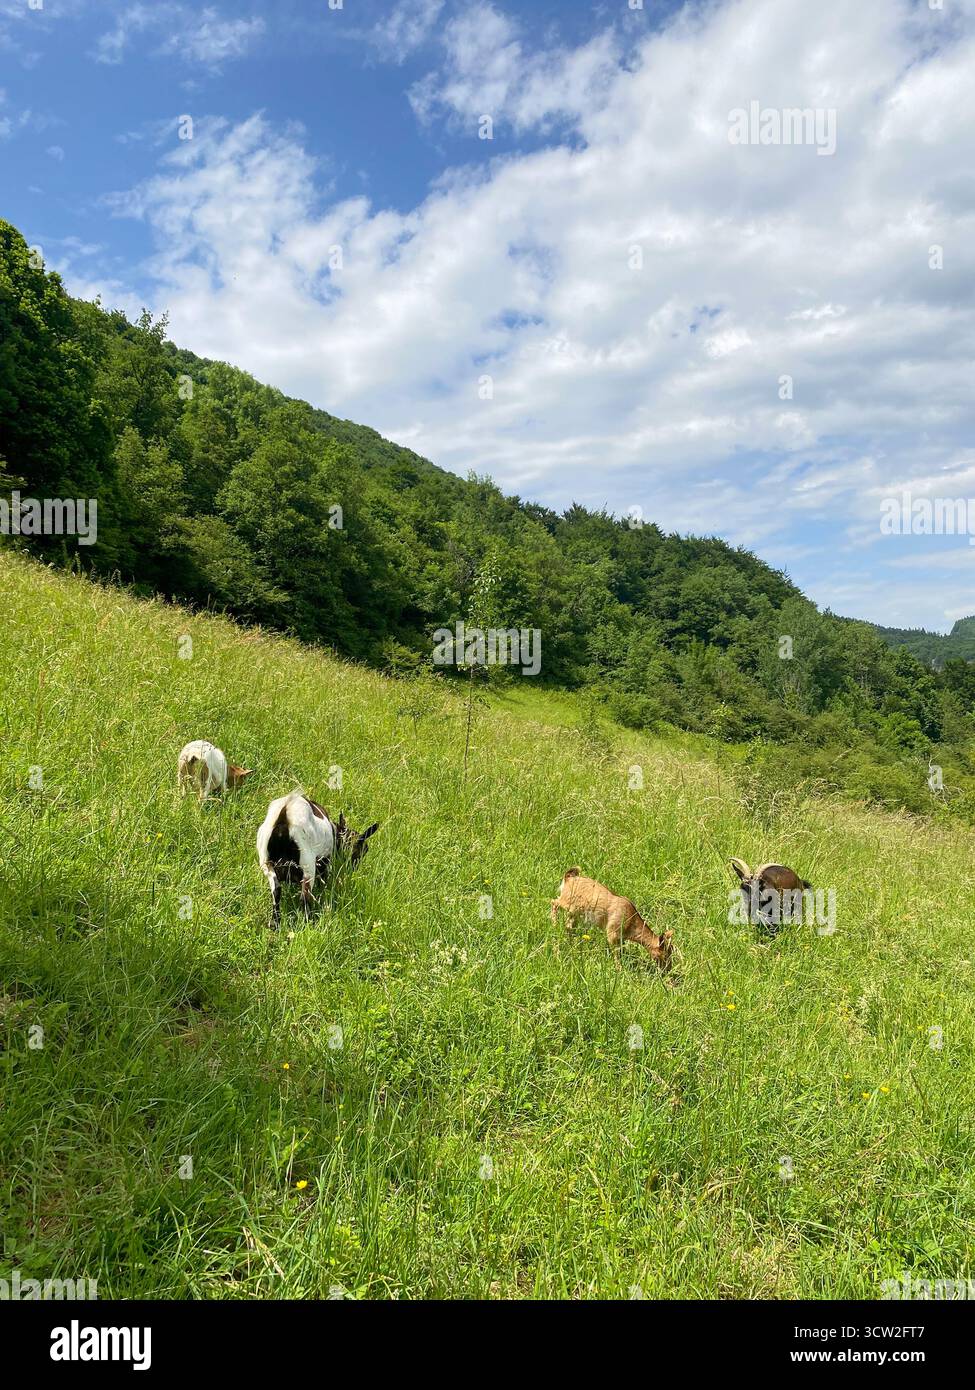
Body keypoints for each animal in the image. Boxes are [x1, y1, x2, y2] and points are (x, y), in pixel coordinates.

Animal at [256, 791, 379, 928]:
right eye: (363, 850)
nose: (354, 868)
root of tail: (284, 816)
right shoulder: (324, 862)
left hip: (267, 864)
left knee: (276, 891)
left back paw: (275, 924)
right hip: (308, 864)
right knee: (305, 897)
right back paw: (307, 922)